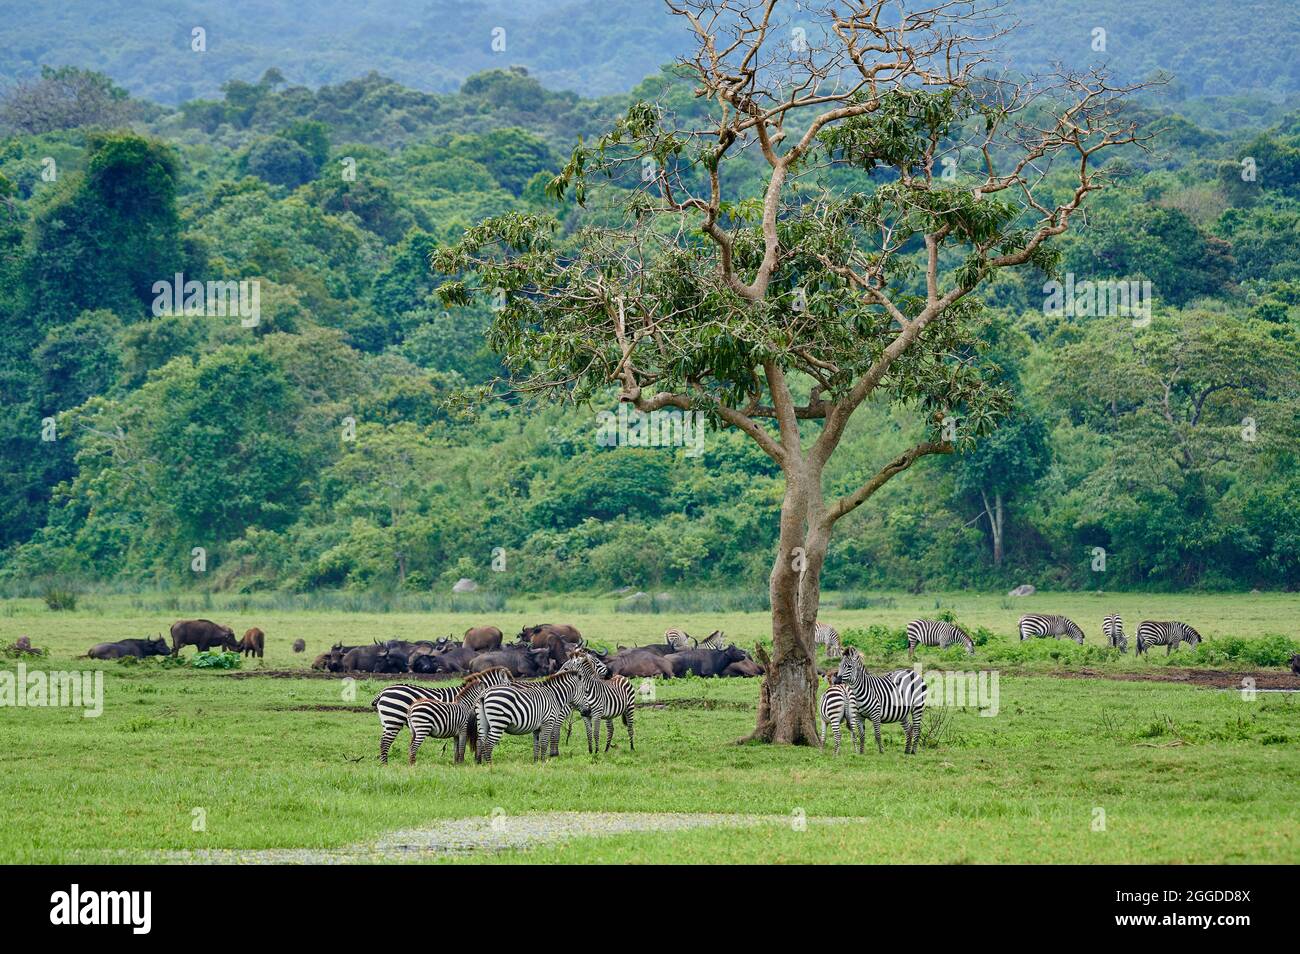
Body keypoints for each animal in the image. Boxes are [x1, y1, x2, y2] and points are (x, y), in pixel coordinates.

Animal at [371, 668, 512, 763]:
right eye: (509, 685)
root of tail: (383, 691)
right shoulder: (471, 722)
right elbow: (474, 741)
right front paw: (477, 761)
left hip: (387, 721)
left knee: (383, 741)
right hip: (393, 720)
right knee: (385, 742)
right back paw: (385, 764)